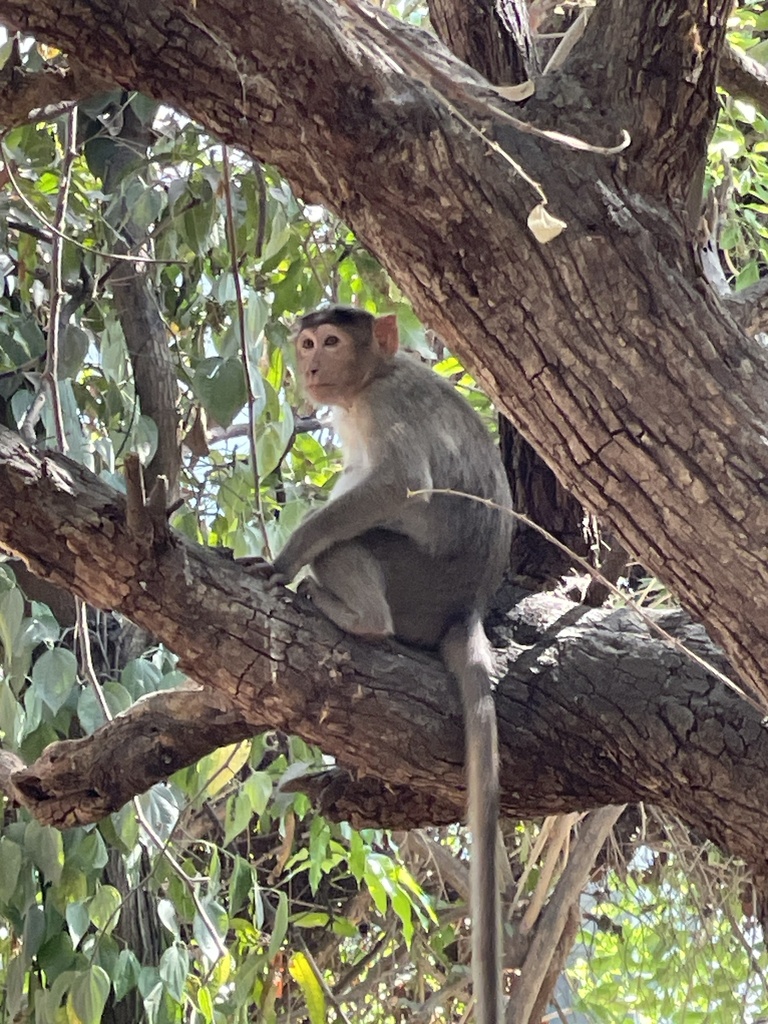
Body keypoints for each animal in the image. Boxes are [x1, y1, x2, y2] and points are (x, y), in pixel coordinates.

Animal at [262, 305, 512, 1024]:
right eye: (307, 343)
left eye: (331, 341)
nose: (312, 364)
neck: (372, 376)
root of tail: (468, 605)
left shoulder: (384, 406)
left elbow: (396, 484)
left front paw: (286, 558)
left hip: (417, 584)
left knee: (353, 538)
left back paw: (359, 617)